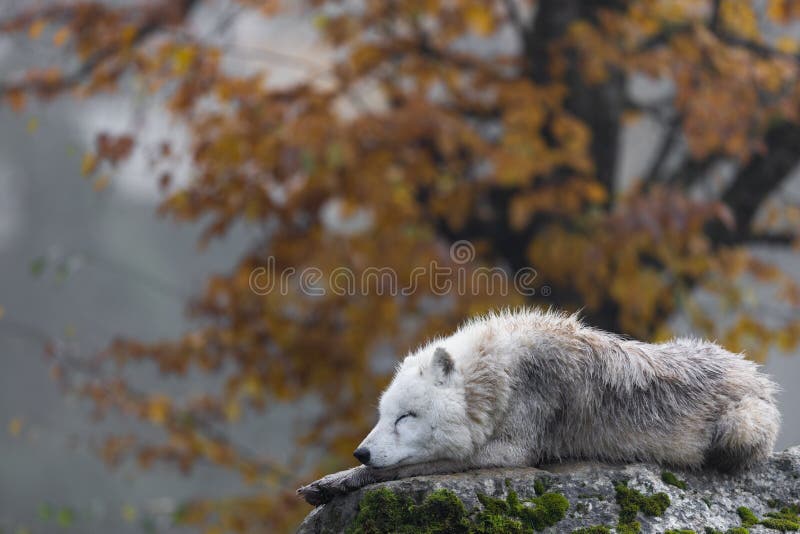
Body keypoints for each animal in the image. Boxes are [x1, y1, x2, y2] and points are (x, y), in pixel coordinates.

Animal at [298, 308, 780, 506]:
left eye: (406, 417)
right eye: (383, 416)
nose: (361, 451)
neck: (501, 371)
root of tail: (757, 374)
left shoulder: (511, 451)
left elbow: (415, 467)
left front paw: (346, 479)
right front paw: (334, 479)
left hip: (741, 424)